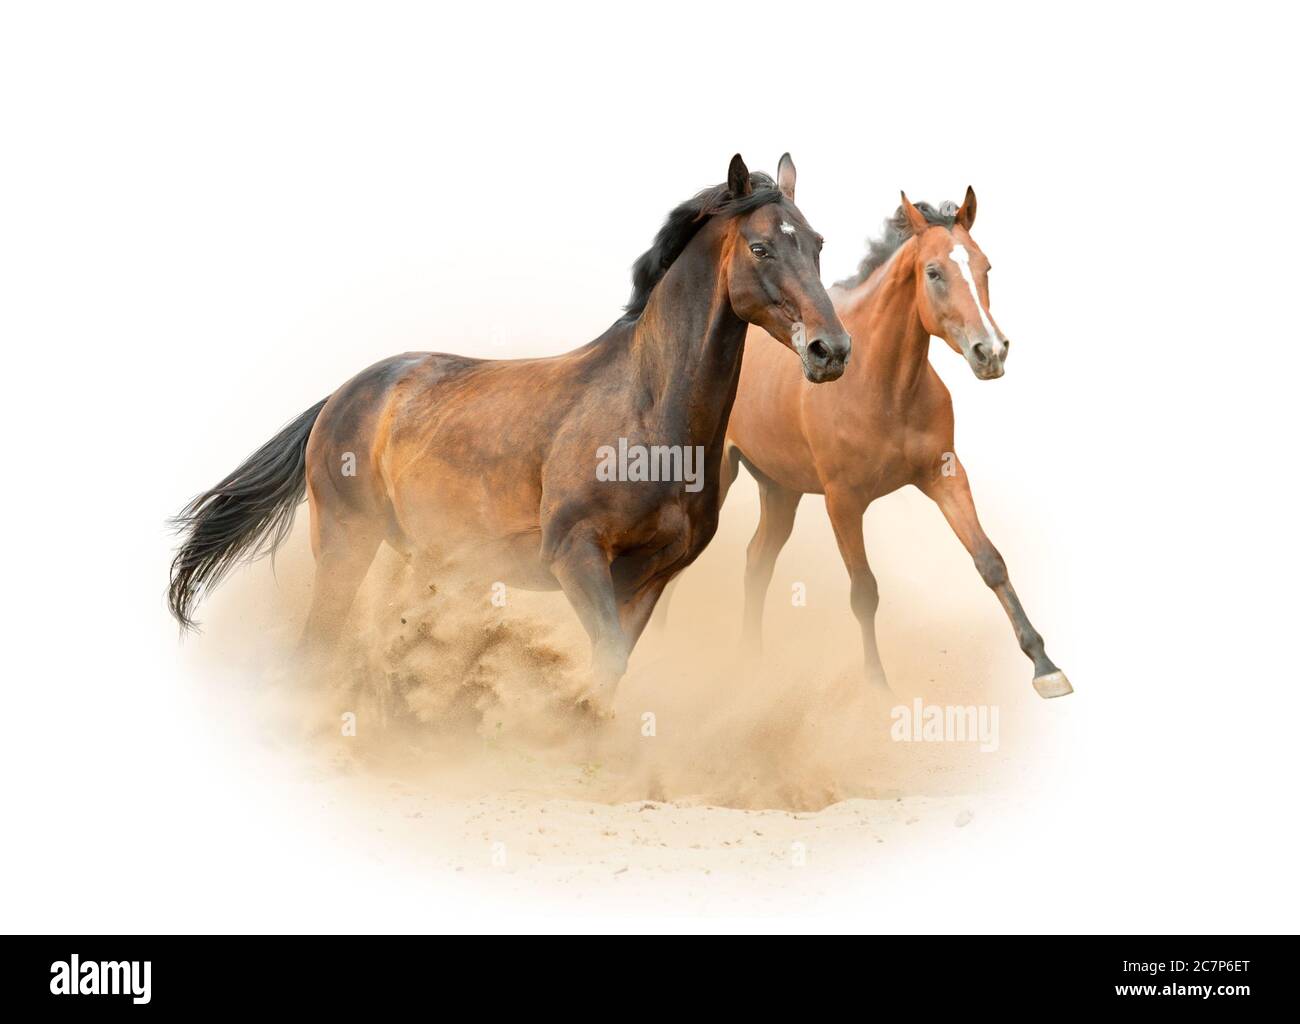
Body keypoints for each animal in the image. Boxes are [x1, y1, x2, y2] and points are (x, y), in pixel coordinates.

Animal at [168, 154, 852, 714]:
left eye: (817, 243)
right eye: (761, 248)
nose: (831, 350)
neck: (648, 414)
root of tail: (342, 396)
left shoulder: (651, 574)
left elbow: (614, 667)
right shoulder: (576, 554)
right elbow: (605, 659)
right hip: (343, 546)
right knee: (316, 645)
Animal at [654, 188, 1072, 700]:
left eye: (985, 266)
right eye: (934, 272)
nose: (990, 352)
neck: (884, 386)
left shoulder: (945, 475)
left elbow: (990, 560)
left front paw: (1045, 665)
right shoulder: (844, 502)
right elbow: (864, 591)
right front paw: (876, 685)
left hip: (780, 490)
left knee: (757, 561)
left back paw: (750, 659)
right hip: (719, 477)